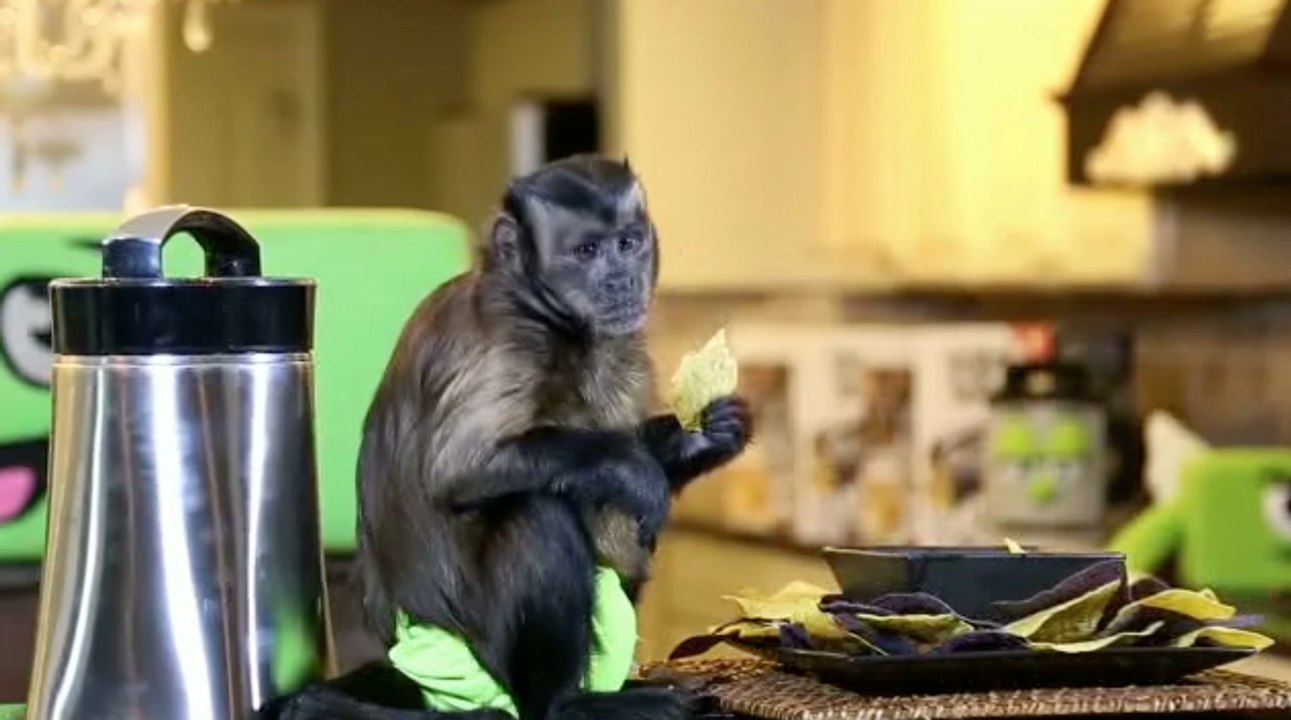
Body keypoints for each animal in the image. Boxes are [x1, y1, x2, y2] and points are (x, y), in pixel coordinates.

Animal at [262, 155, 751, 720]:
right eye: (586, 251)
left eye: (628, 243)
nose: (621, 280)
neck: (543, 312)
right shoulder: (508, 345)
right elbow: (461, 468)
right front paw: (634, 472)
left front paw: (703, 440)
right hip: (481, 658)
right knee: (536, 509)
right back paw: (565, 702)